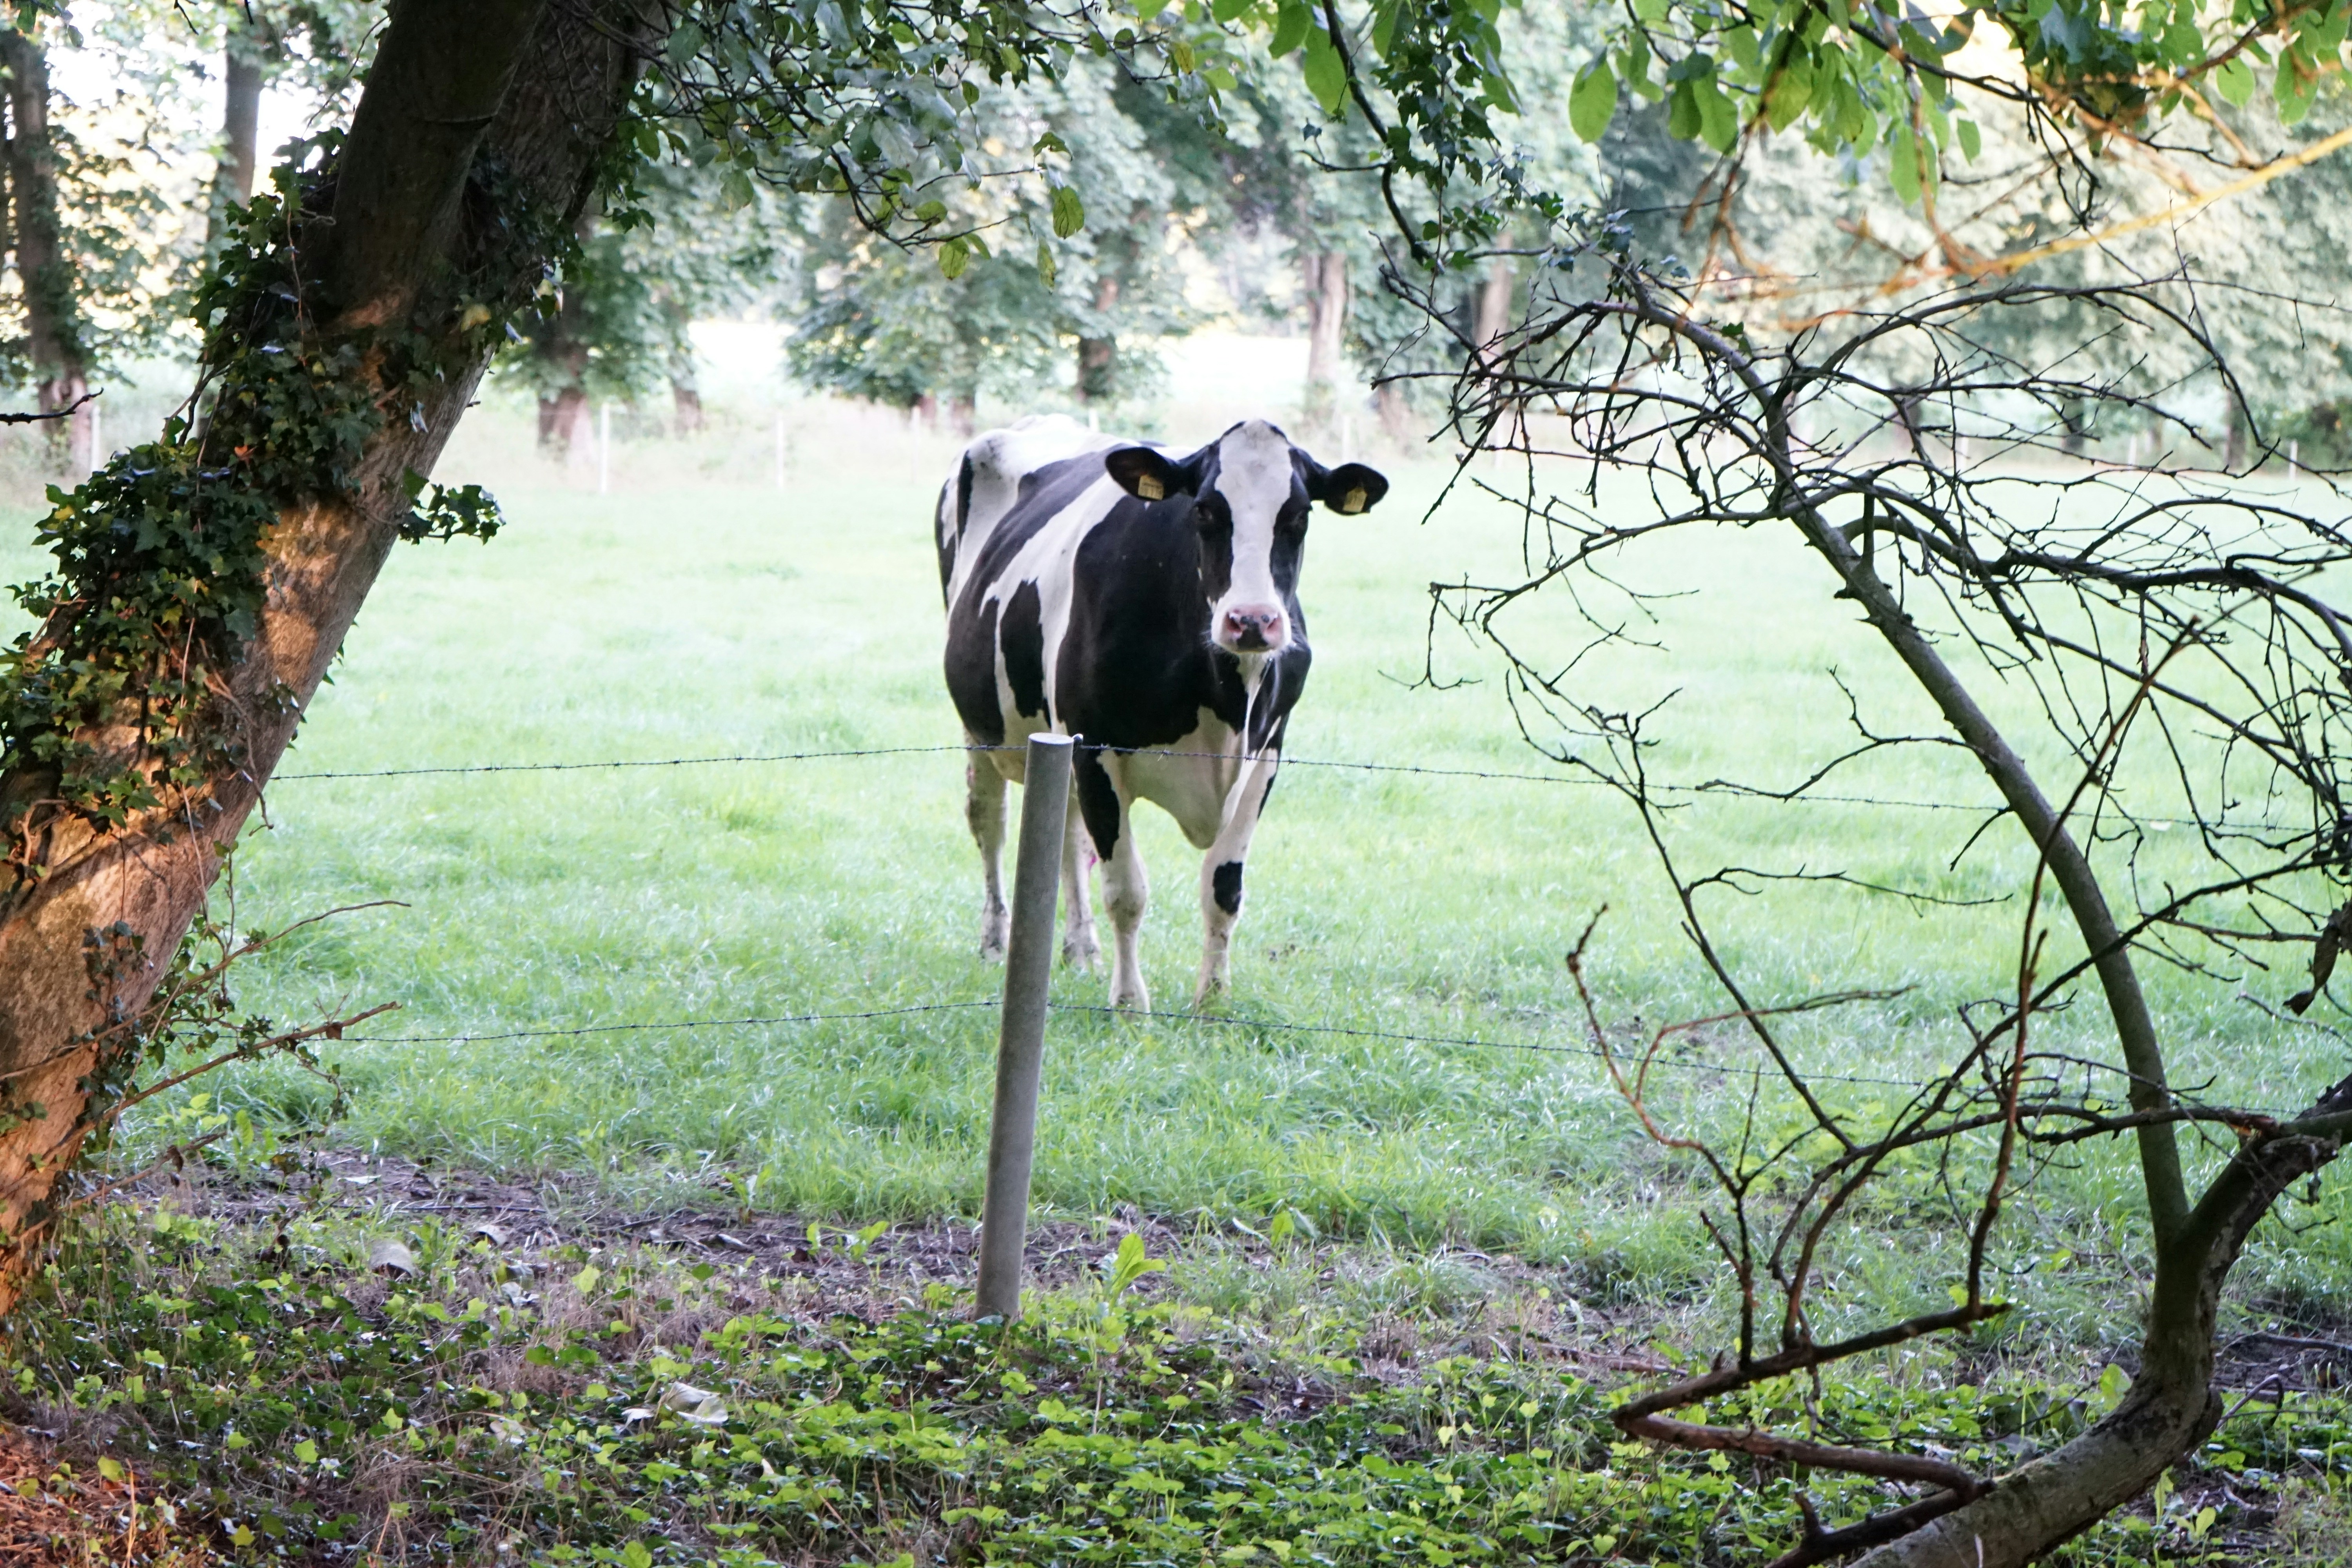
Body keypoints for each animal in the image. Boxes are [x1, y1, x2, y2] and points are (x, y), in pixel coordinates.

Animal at [936, 414, 1390, 1009]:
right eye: (1204, 510)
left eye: (1299, 514)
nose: (1252, 620)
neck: (1224, 700)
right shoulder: (1096, 746)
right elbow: (1126, 890)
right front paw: (1130, 1003)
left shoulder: (1267, 753)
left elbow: (1224, 887)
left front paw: (1213, 1001)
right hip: (982, 726)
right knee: (990, 822)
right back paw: (995, 941)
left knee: (1067, 833)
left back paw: (1082, 949)